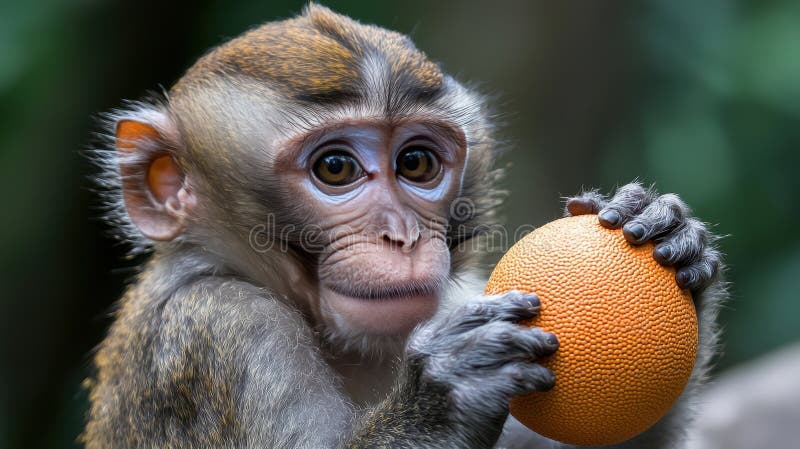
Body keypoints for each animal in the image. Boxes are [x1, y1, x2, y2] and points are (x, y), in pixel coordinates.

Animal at [83, 4, 724, 449]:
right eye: (335, 168)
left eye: (415, 162)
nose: (403, 236)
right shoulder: (225, 329)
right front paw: (445, 393)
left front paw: (665, 231)